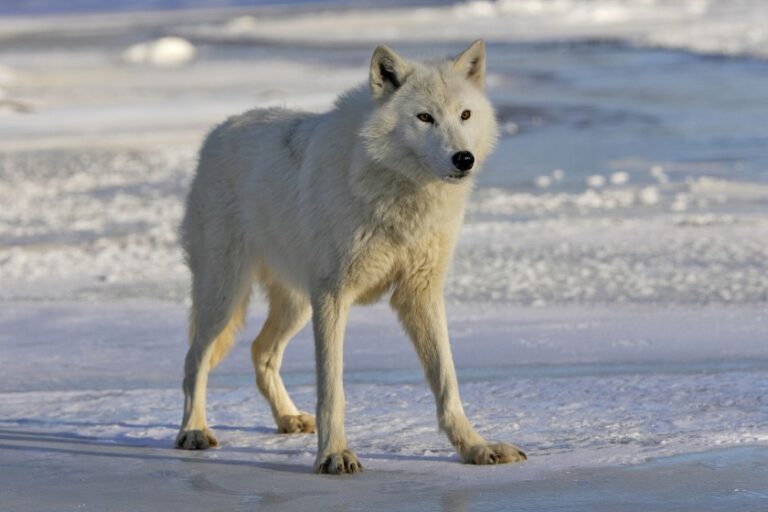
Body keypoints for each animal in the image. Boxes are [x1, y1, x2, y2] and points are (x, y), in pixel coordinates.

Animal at [176, 40, 527, 474]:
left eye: (465, 115)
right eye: (424, 117)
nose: (464, 158)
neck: (398, 194)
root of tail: (219, 130)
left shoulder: (420, 294)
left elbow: (448, 382)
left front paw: (476, 448)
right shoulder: (332, 296)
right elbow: (332, 388)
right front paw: (334, 454)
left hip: (295, 303)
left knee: (260, 351)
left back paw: (288, 418)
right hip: (225, 296)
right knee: (195, 359)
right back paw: (193, 431)